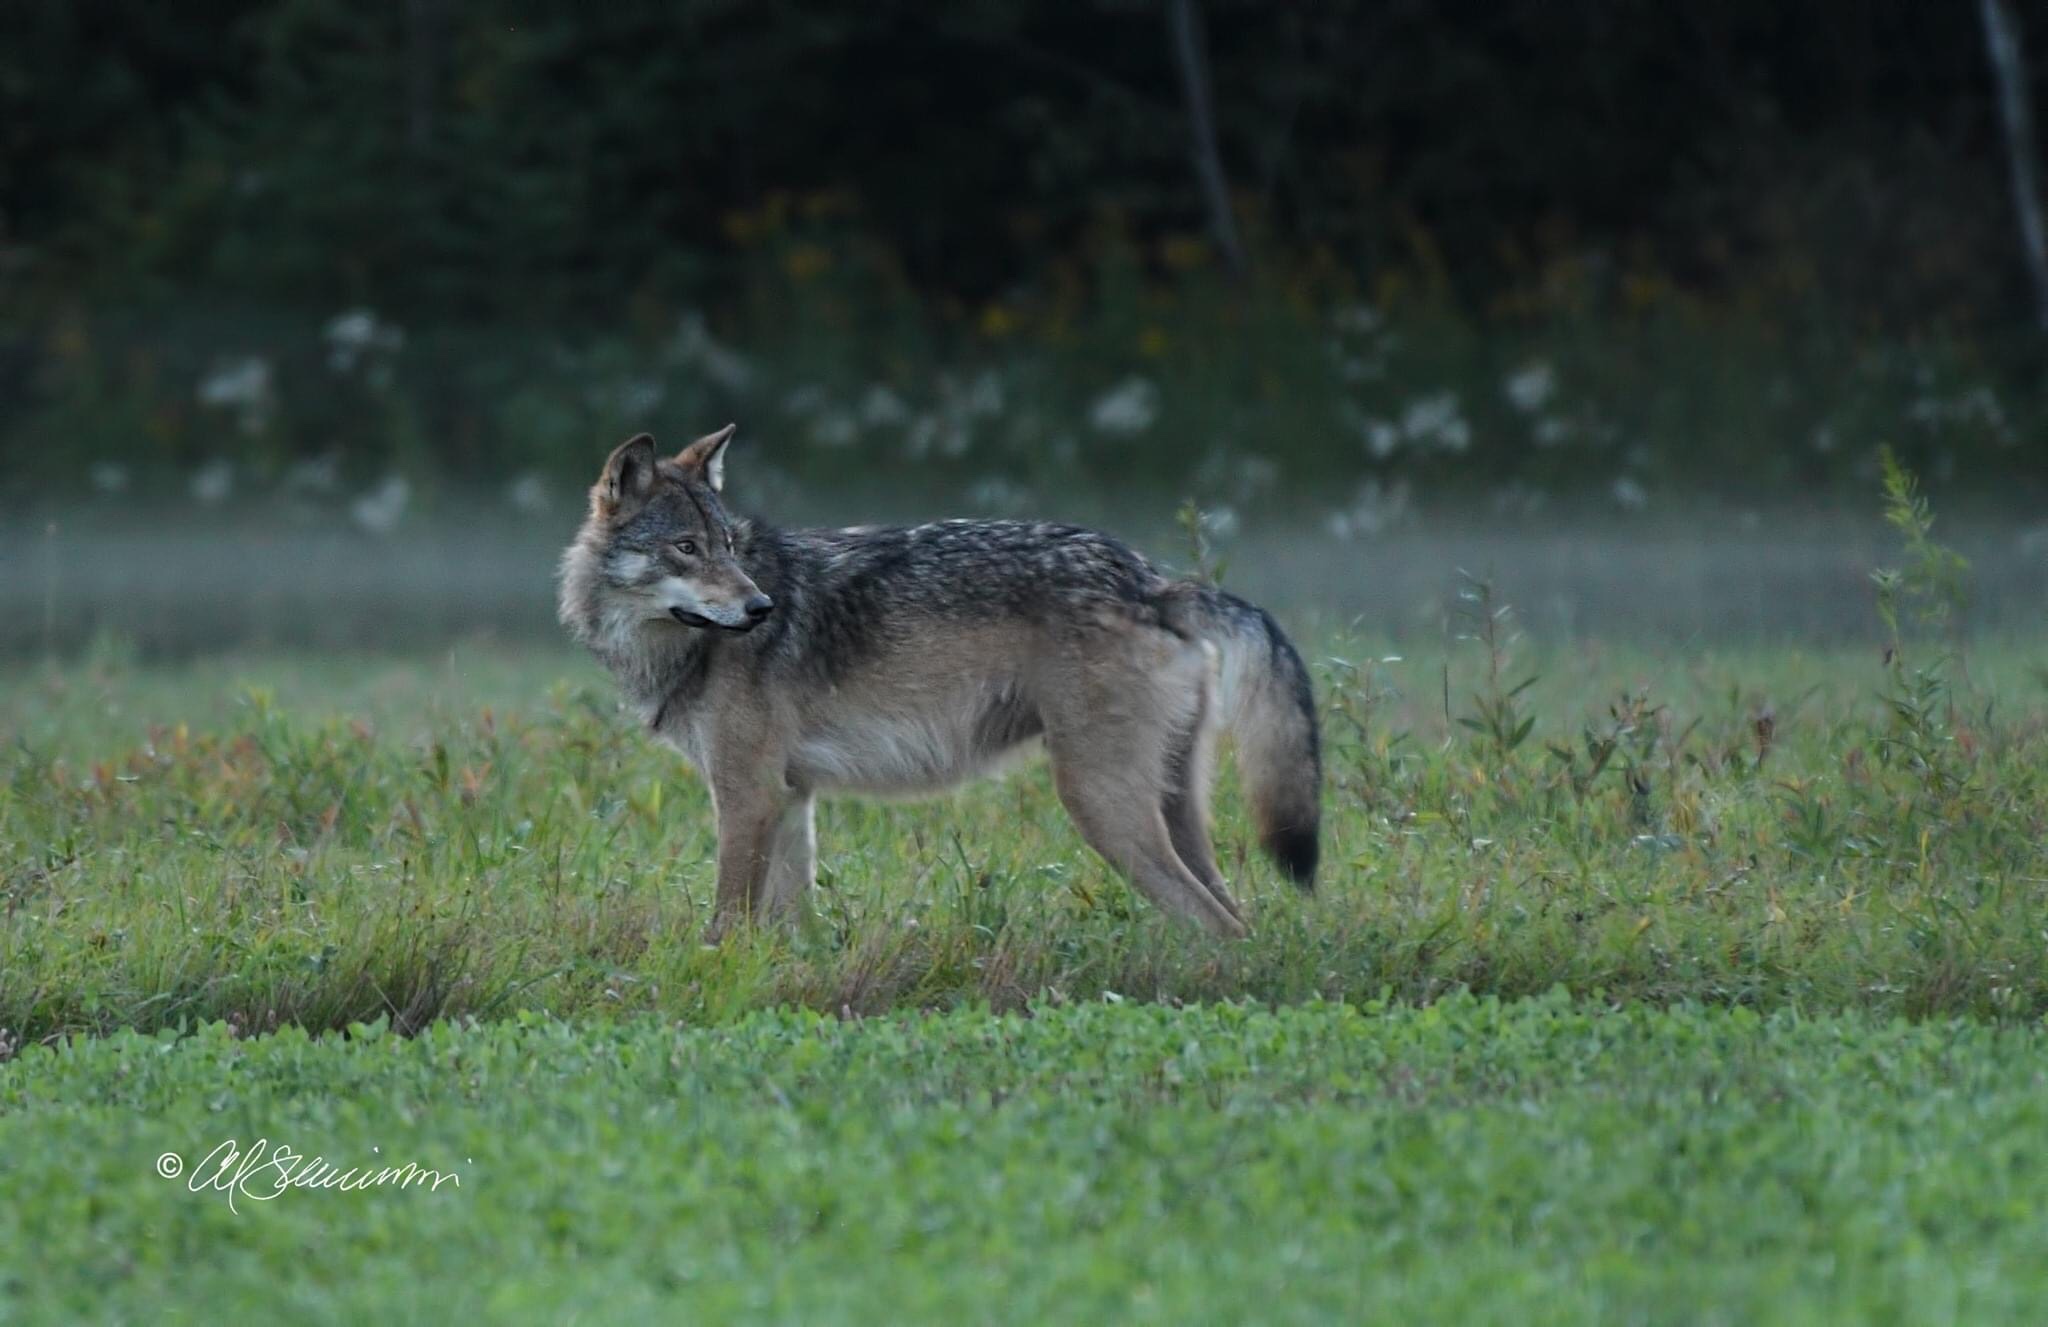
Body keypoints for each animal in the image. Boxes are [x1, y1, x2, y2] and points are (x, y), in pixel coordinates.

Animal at [557, 426, 1321, 940]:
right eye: (687, 548)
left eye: (728, 548)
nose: (761, 609)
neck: (677, 649)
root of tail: (1154, 581)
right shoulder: (791, 797)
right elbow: (796, 925)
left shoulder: (747, 797)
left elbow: (725, 925)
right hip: (1171, 810)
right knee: (1235, 917)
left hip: (1100, 806)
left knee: (1216, 922)